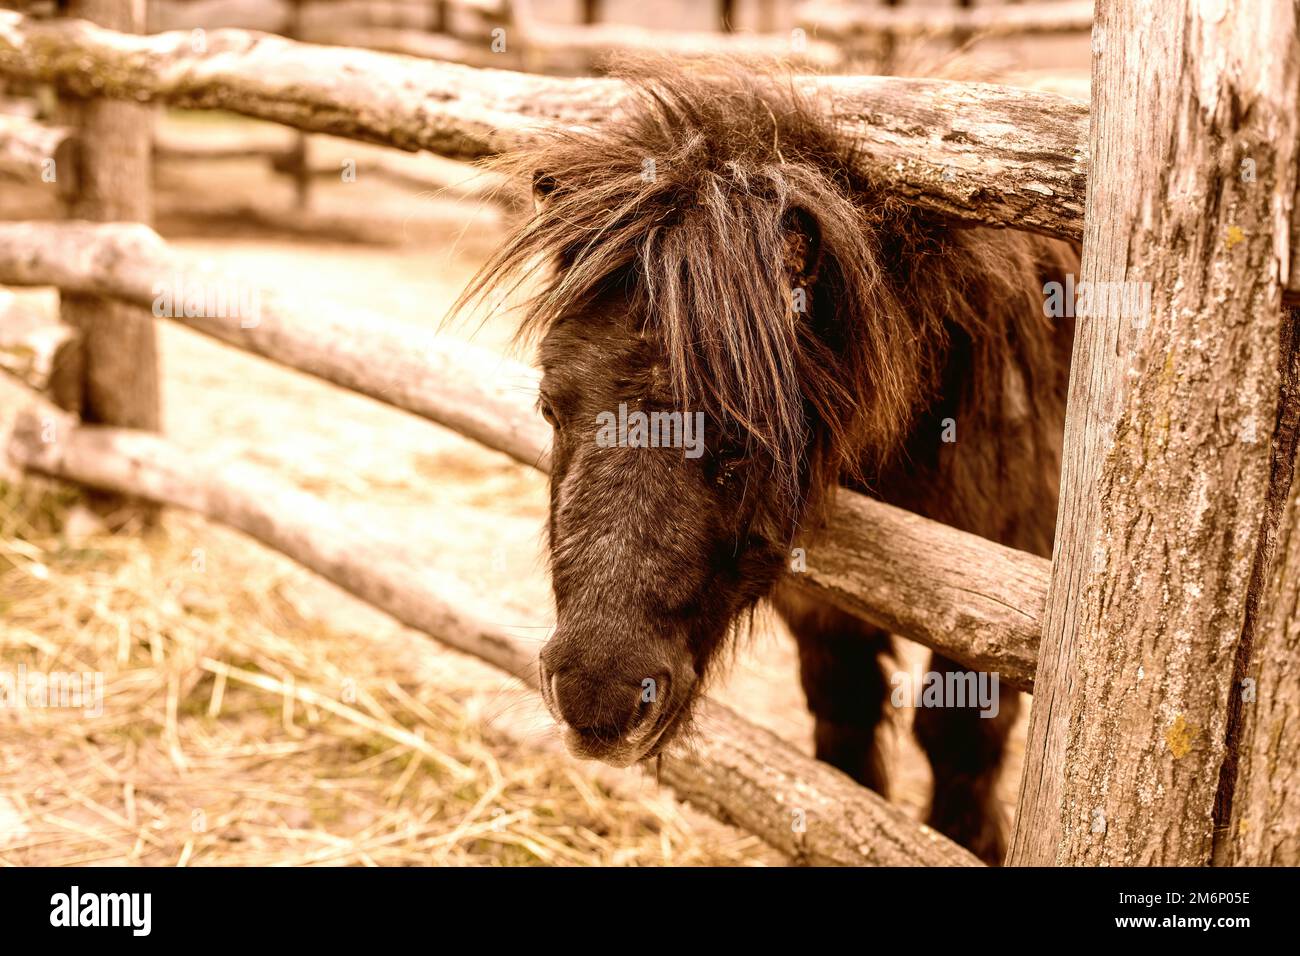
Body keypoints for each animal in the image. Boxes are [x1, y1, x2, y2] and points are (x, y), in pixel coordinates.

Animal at [460, 61, 1079, 865]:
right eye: (548, 409)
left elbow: (958, 744)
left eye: (747, 435)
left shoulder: (1001, 590)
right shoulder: (821, 604)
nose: (600, 699)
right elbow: (843, 722)